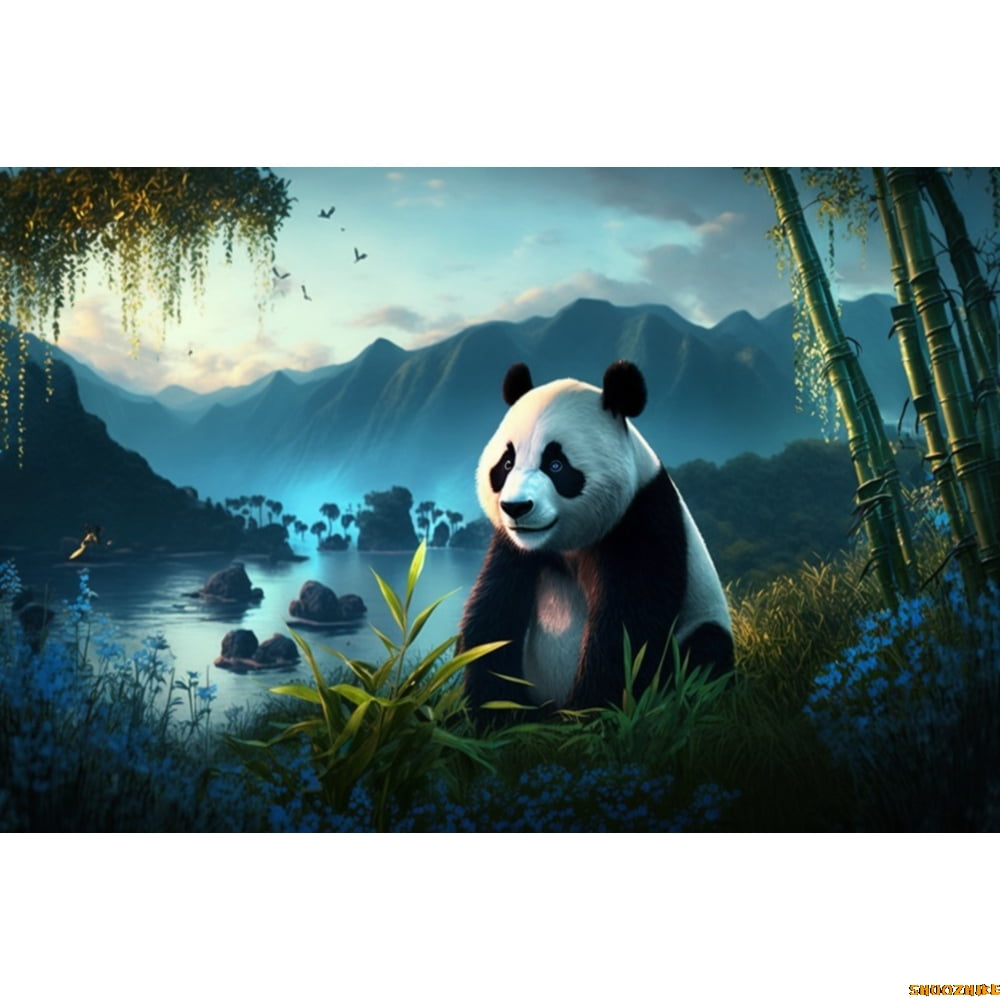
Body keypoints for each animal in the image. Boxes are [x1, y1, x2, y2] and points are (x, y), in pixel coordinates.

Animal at [458, 359, 733, 723]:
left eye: (556, 465)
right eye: (506, 464)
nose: (516, 507)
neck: (567, 545)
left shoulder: (642, 520)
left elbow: (627, 630)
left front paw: (588, 715)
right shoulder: (514, 548)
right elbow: (492, 614)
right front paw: (494, 713)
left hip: (700, 621)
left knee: (705, 653)